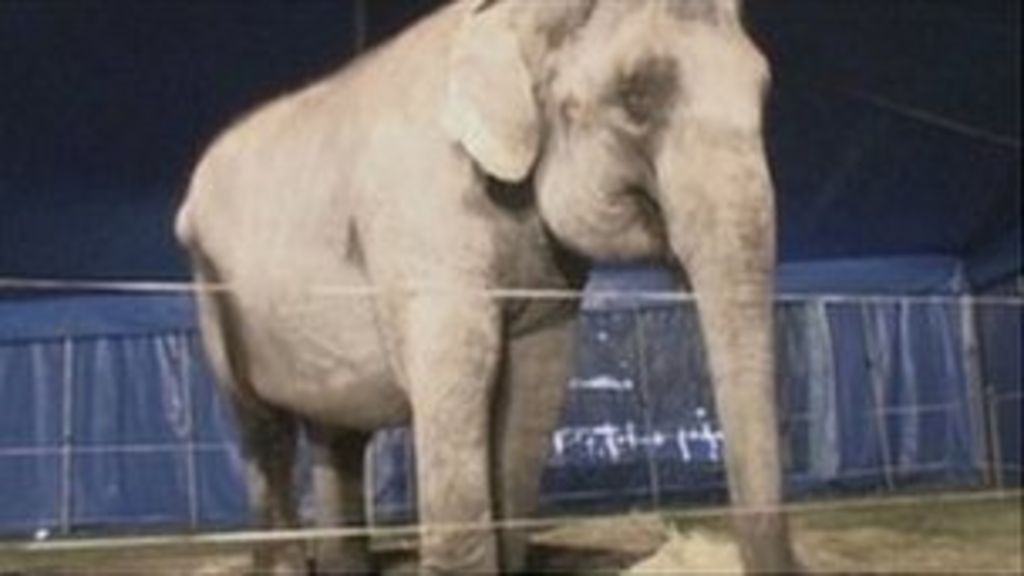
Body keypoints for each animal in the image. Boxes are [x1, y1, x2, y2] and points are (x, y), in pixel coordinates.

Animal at [174, 0, 798, 574]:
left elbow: (534, 384)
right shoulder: (424, 210)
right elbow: (463, 365)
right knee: (263, 430)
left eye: (765, 89)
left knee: (339, 437)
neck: (513, 17)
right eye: (636, 96)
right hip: (212, 291)